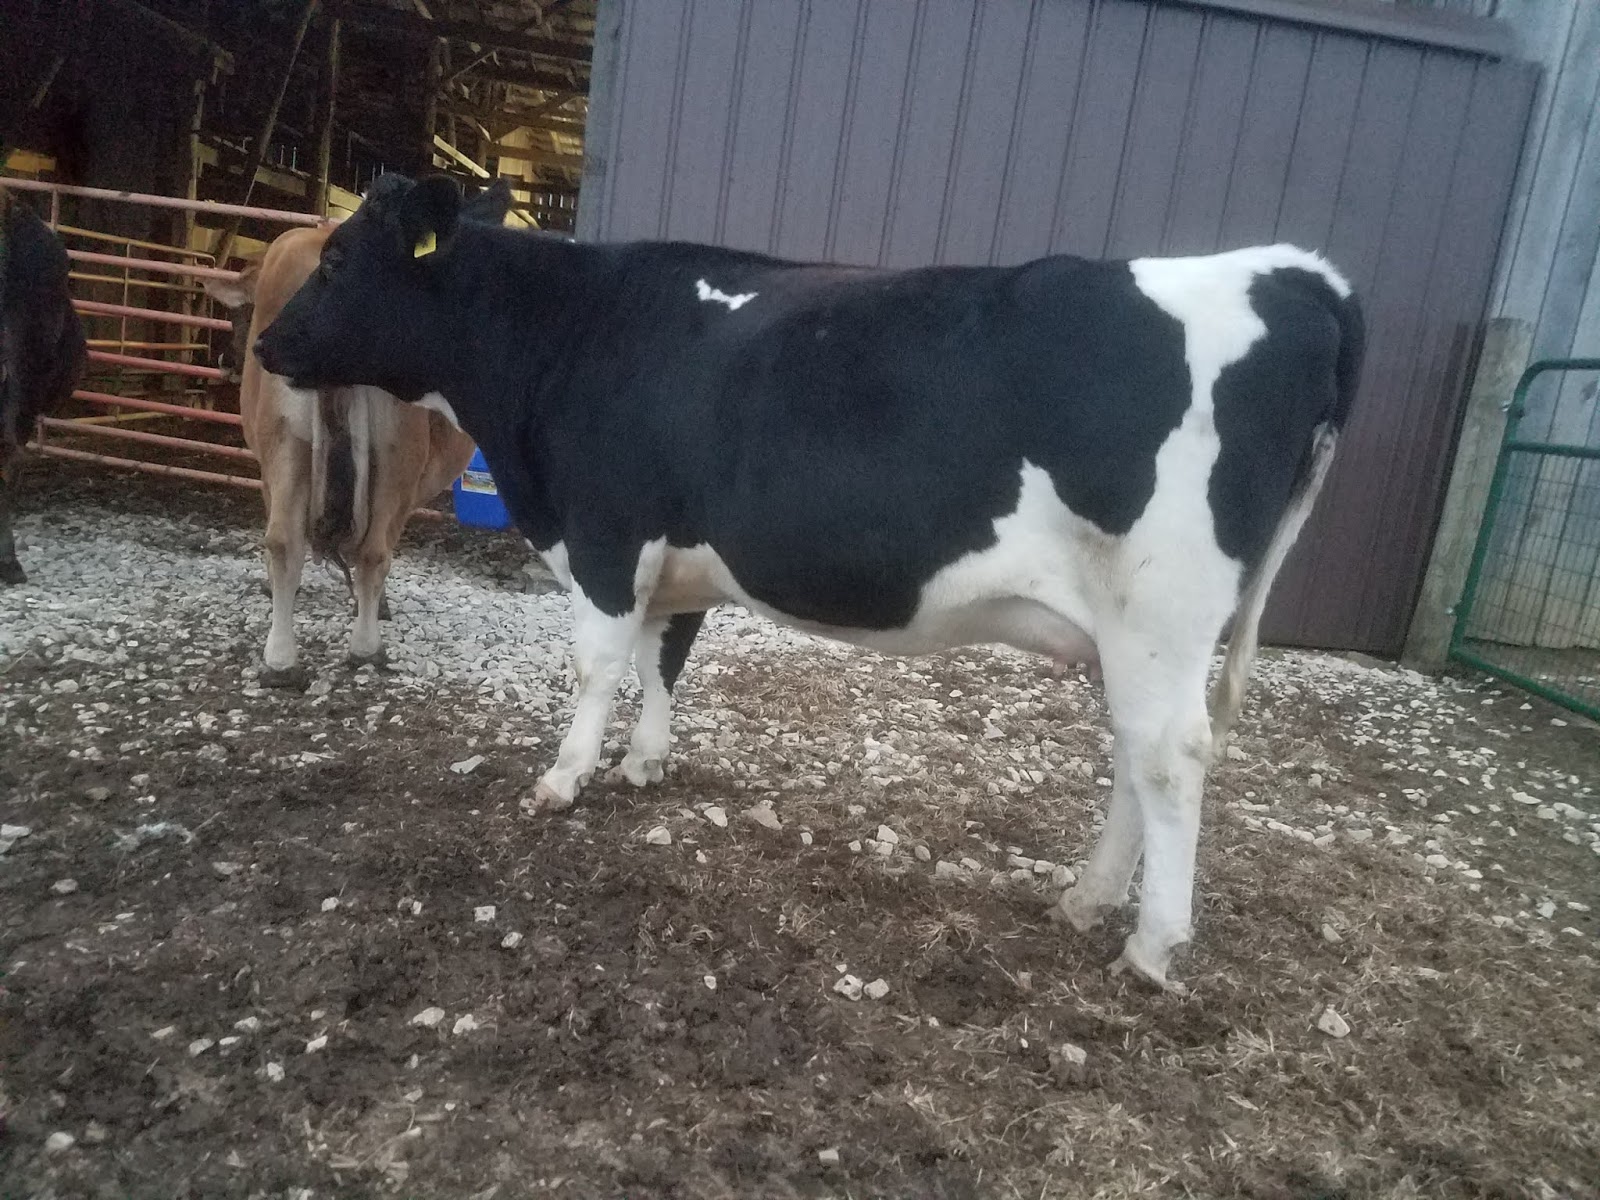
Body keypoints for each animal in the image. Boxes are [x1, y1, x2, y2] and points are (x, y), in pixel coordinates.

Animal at [204, 180, 513, 679]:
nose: (226, 363)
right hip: (383, 450)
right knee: (358, 549)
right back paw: (346, 648)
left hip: (299, 440)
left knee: (297, 543)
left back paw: (295, 655)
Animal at [256, 173, 1365, 989]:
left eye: (341, 259)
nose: (265, 342)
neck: (567, 338)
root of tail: (1283, 273)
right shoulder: (677, 557)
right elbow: (664, 658)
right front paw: (646, 764)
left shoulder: (607, 533)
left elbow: (597, 664)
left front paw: (564, 778)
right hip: (1134, 633)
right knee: (1137, 753)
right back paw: (1087, 900)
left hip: (1161, 607)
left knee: (1170, 758)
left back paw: (1150, 945)